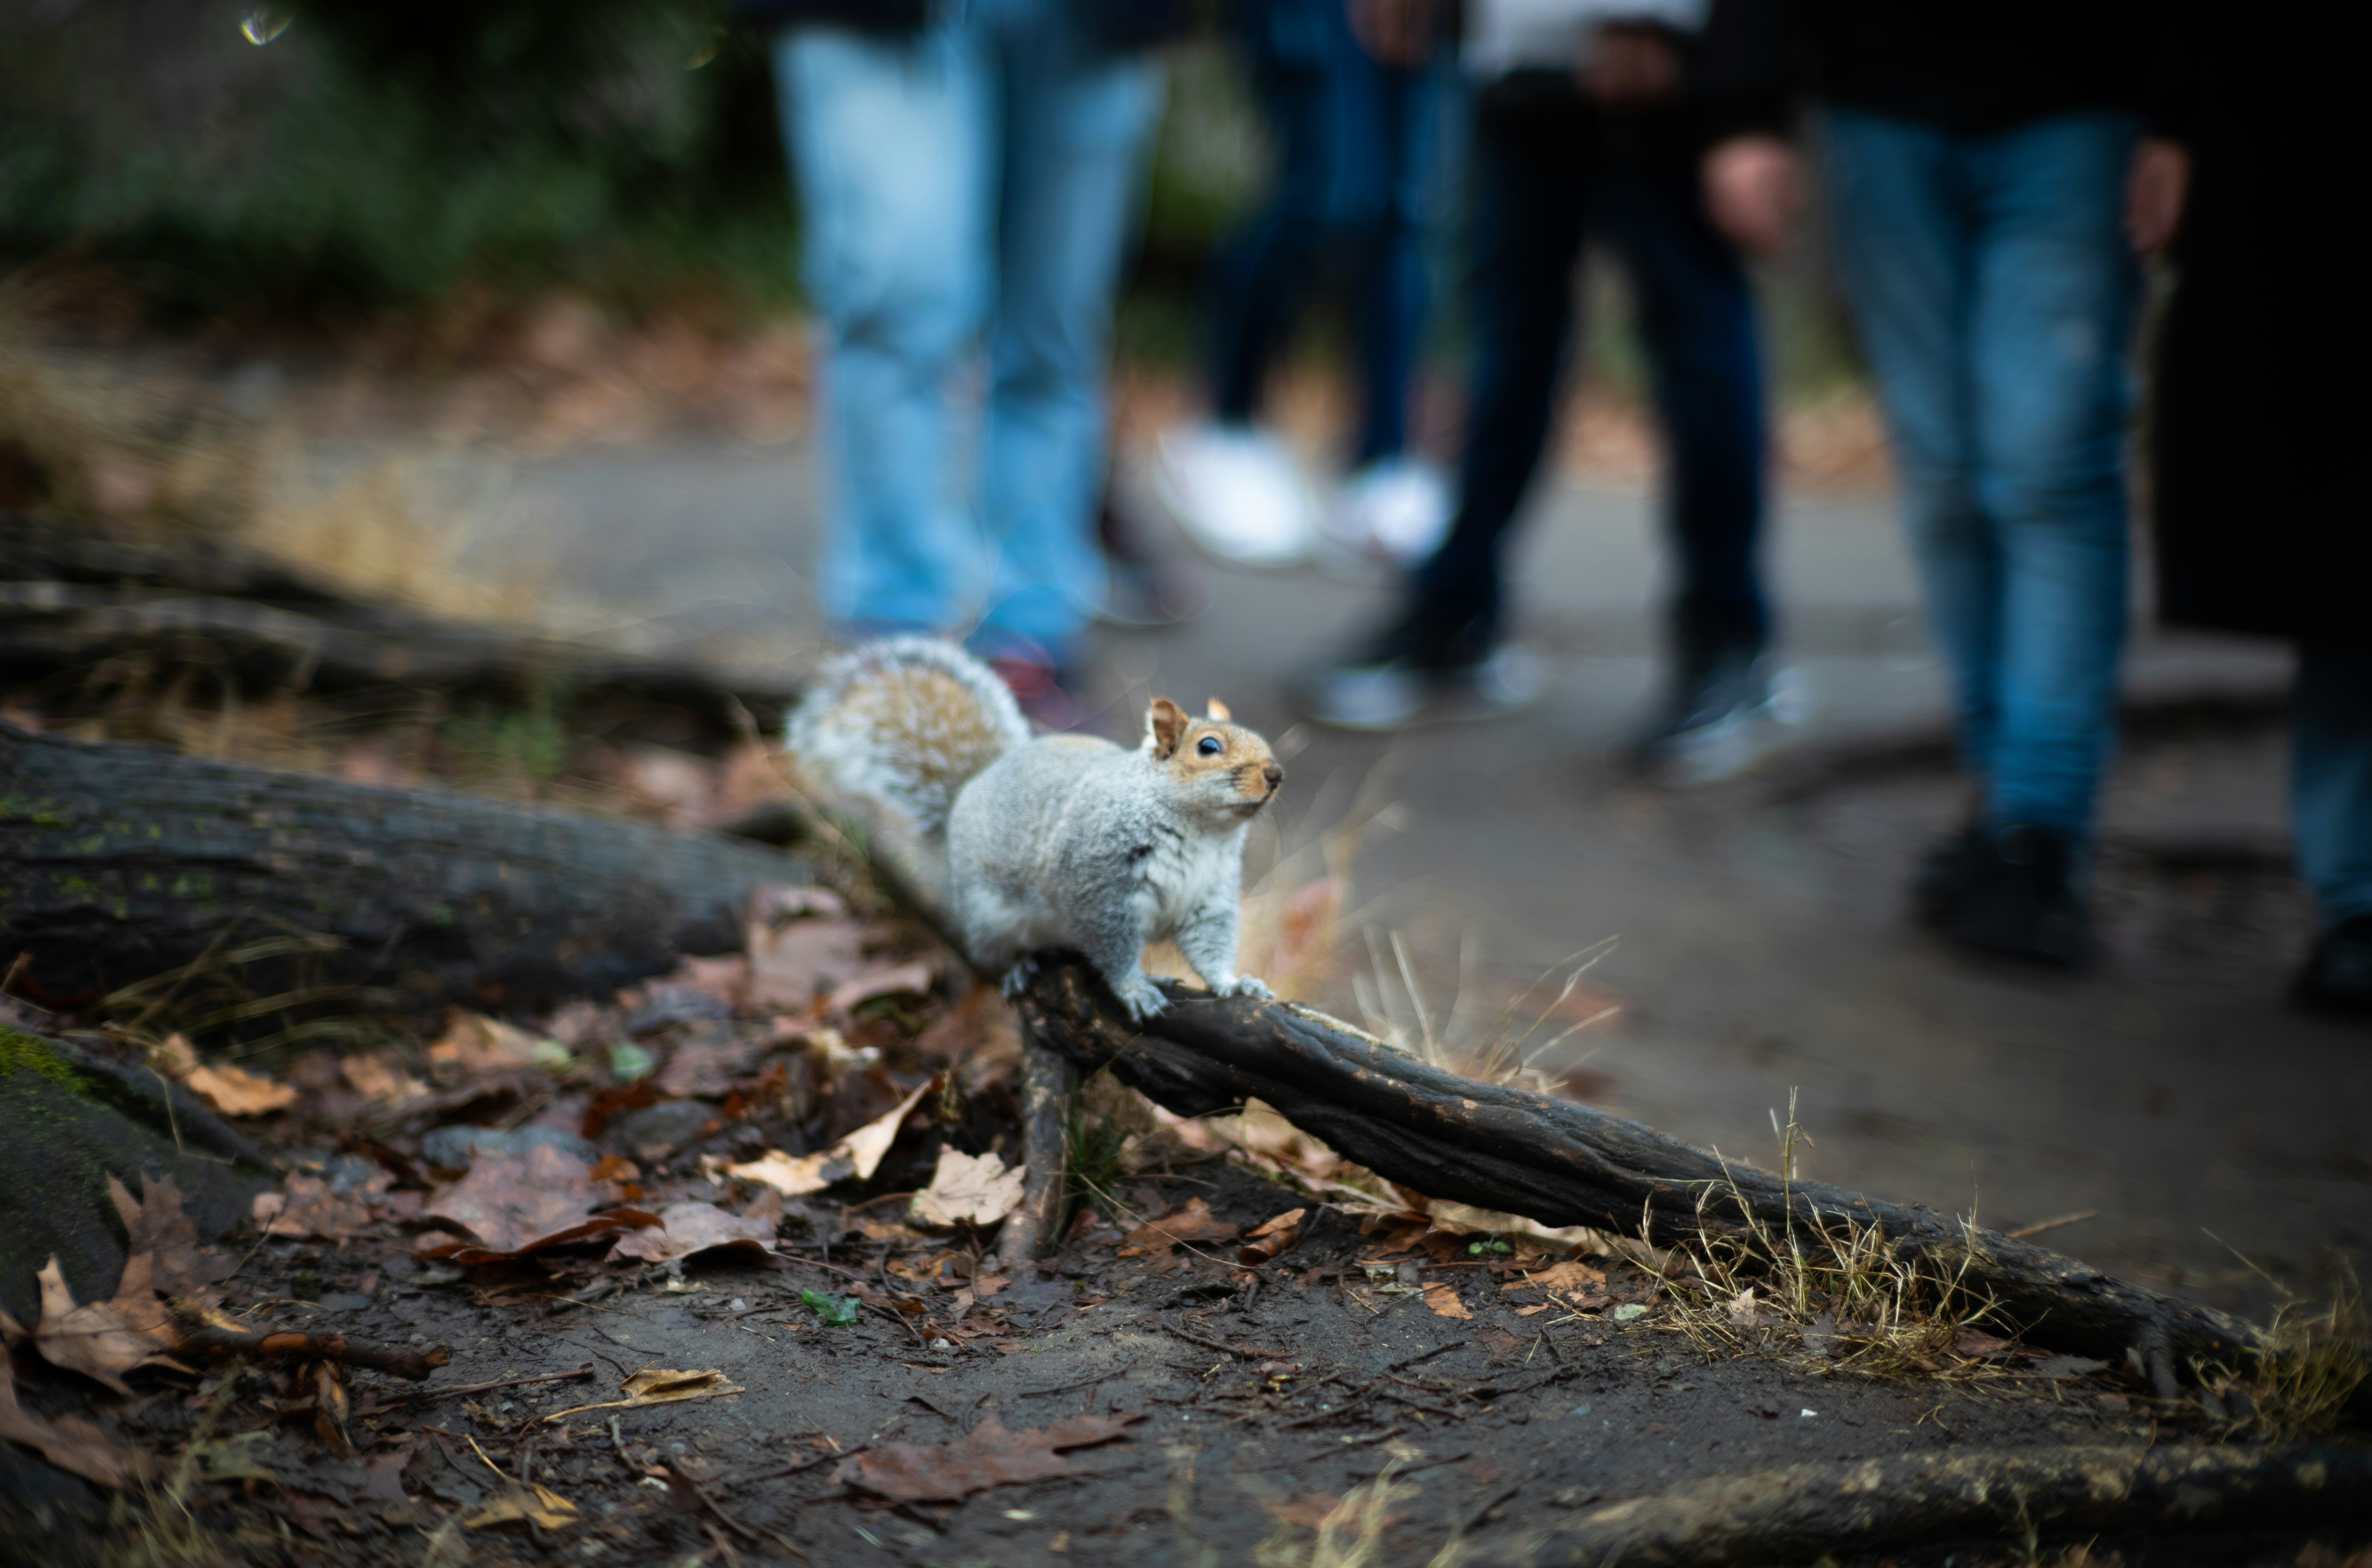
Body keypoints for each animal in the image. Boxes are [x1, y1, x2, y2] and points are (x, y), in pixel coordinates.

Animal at [785, 636, 1286, 1020]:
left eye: (1262, 740)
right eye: (1208, 747)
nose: (1276, 774)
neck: (1203, 834)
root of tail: (969, 791)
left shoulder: (1210, 896)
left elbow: (1210, 947)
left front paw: (1235, 983)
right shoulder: (1100, 889)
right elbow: (1114, 948)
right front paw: (1135, 989)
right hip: (988, 914)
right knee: (989, 954)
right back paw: (1018, 967)